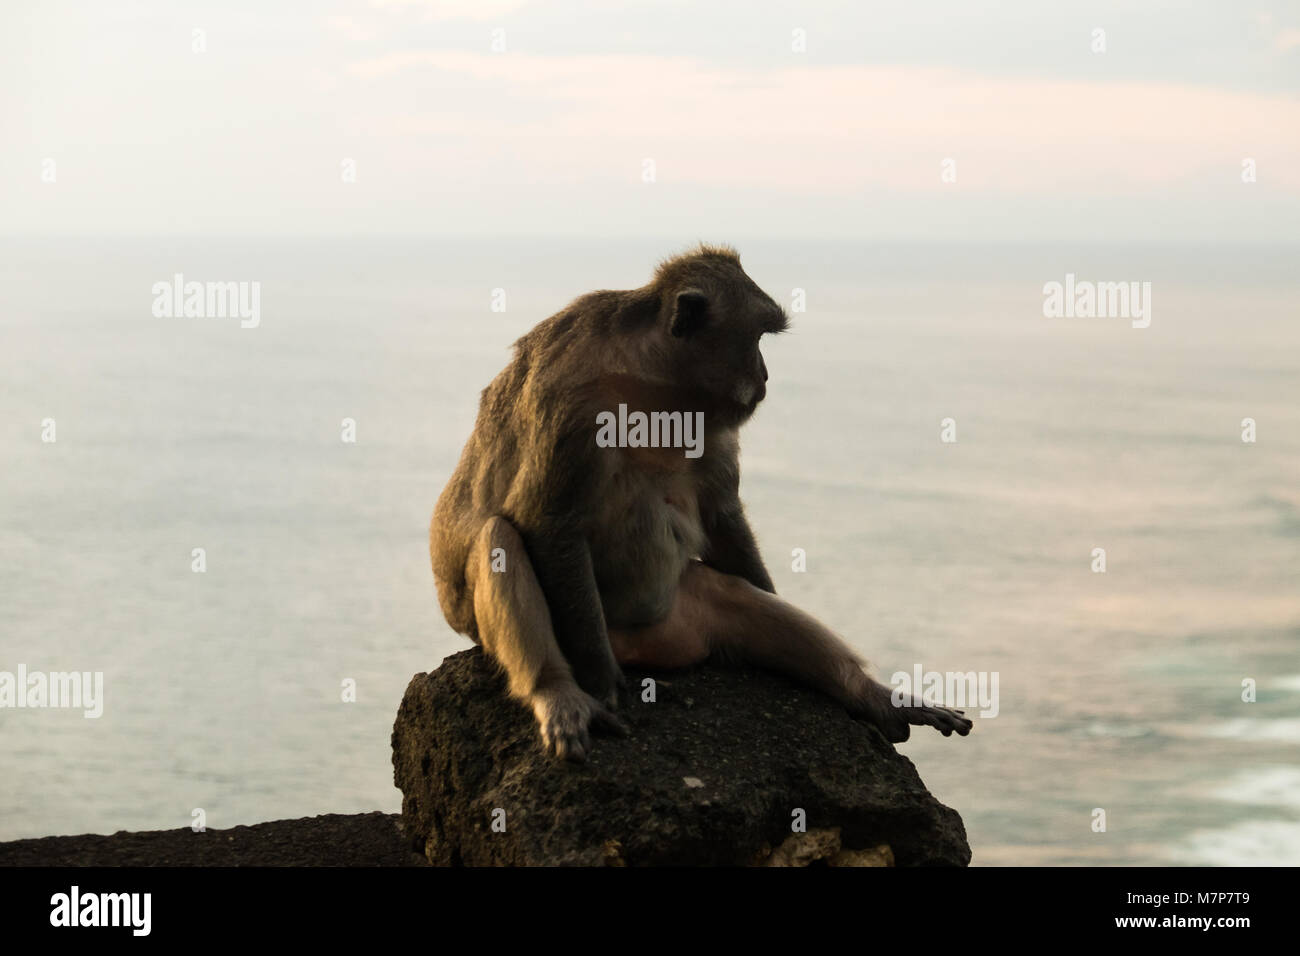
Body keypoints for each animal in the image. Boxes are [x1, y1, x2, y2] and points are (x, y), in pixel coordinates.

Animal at [431, 244, 972, 761]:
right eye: (756, 337)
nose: (766, 375)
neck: (651, 386)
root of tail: (645, 651)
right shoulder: (571, 407)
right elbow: (548, 523)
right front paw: (601, 683)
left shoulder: (708, 418)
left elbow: (721, 514)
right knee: (500, 538)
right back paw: (558, 691)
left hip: (682, 612)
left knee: (736, 598)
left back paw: (869, 694)